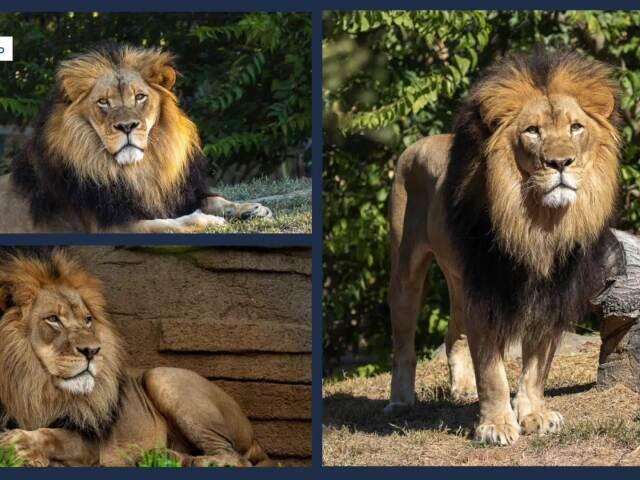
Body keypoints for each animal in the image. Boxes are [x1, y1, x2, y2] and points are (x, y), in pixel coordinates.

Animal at [0, 44, 272, 233]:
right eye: (103, 102)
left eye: (140, 97)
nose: (127, 126)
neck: (136, 172)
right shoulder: (111, 227)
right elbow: (170, 224)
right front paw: (209, 221)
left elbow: (215, 199)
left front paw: (250, 208)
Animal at [0, 249, 271, 466]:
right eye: (53, 319)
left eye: (88, 320)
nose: (93, 351)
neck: (30, 380)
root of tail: (256, 438)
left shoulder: (90, 442)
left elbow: (54, 437)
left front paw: (19, 444)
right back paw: (161, 456)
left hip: (162, 377)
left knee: (234, 458)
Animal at [385, 50, 621, 446]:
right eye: (532, 131)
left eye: (576, 128)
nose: (561, 162)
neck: (537, 224)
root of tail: (417, 144)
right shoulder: (486, 293)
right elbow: (492, 372)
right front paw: (496, 425)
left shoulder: (550, 292)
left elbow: (537, 366)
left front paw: (534, 415)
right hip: (407, 271)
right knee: (403, 343)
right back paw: (401, 402)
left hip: (458, 280)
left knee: (453, 335)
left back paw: (462, 389)